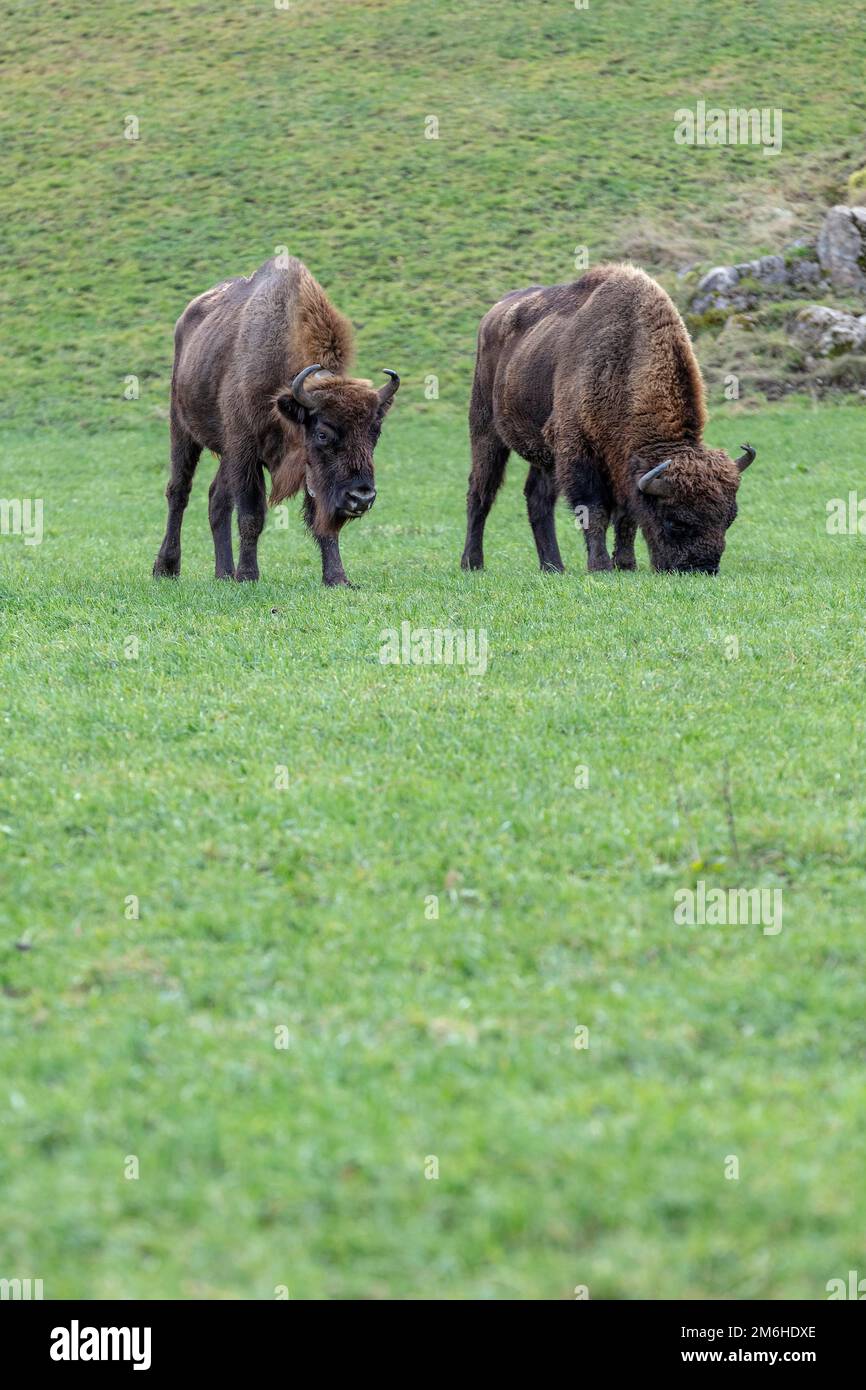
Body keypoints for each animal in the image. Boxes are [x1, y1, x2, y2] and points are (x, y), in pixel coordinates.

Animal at [154, 256, 400, 585]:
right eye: (323, 434)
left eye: (375, 432)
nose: (361, 497)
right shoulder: (246, 453)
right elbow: (251, 515)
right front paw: (248, 576)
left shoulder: (302, 466)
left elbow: (320, 519)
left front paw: (338, 578)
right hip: (182, 431)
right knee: (179, 492)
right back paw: (166, 568)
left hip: (225, 451)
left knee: (217, 499)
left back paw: (223, 573)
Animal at [461, 263, 755, 576]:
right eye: (674, 520)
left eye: (729, 518)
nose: (701, 567)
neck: (625, 362)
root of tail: (493, 313)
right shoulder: (578, 451)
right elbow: (594, 510)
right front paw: (600, 565)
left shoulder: (619, 464)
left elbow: (626, 516)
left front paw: (625, 564)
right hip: (485, 431)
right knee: (480, 493)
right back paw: (472, 562)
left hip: (545, 457)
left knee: (537, 500)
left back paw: (553, 566)